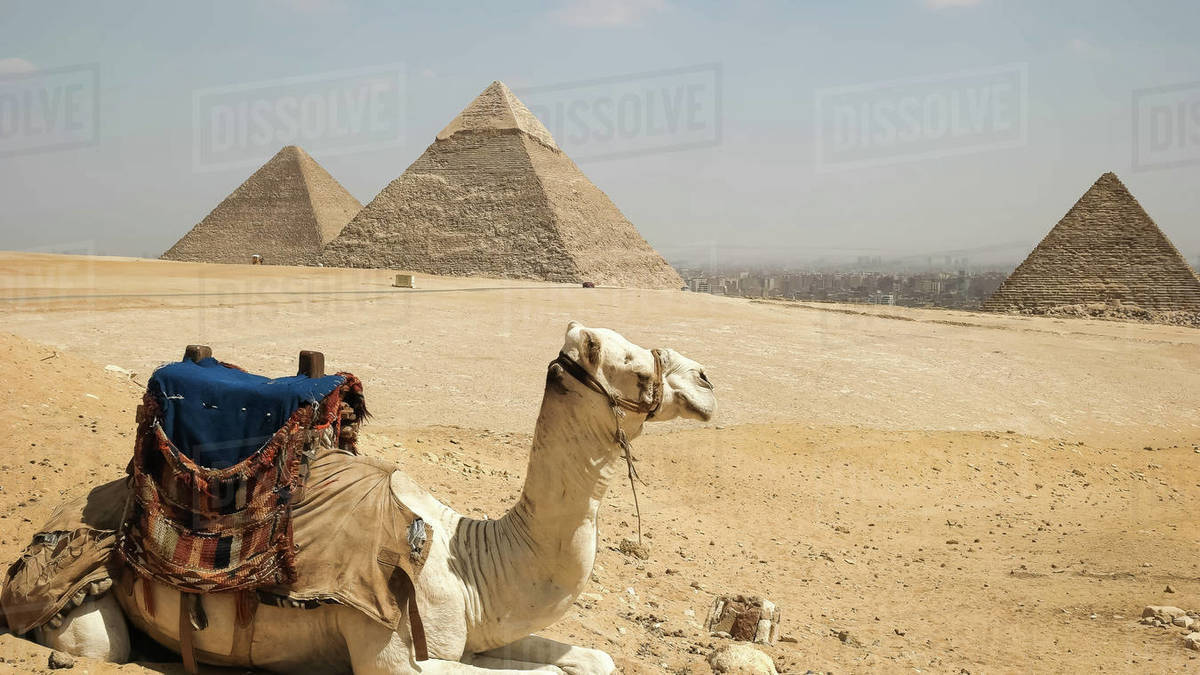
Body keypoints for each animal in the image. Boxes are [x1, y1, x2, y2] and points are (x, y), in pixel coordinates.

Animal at [36, 322, 717, 673]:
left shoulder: (475, 632)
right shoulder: (392, 647)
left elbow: (595, 660)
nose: (707, 381)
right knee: (102, 645)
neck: (471, 562)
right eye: (636, 366)